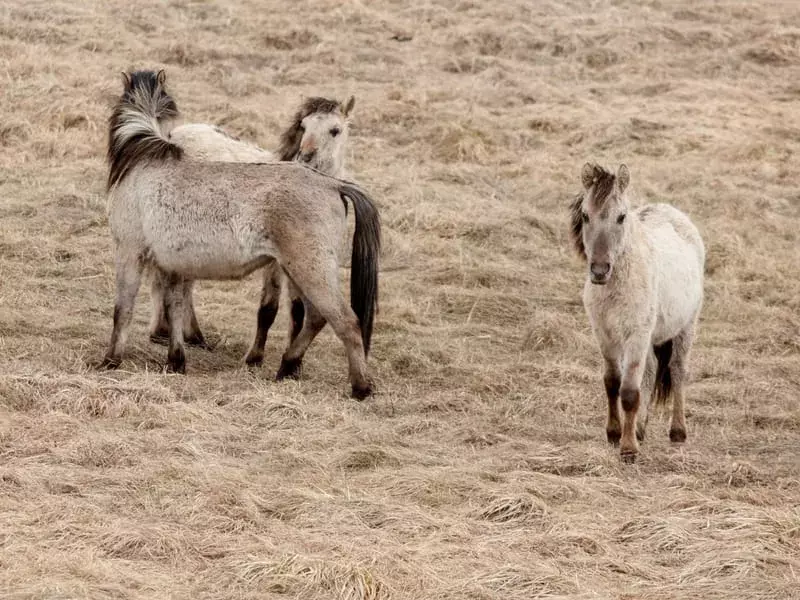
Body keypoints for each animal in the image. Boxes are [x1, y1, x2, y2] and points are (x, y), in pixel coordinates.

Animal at [148, 95, 356, 370]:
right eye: (303, 126)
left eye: (335, 130)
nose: (306, 157)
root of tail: (175, 134)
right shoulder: (277, 263)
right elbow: (268, 308)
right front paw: (254, 359)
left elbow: (298, 311)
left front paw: (294, 364)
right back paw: (165, 332)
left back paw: (191, 336)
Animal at [568, 162, 708, 462]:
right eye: (585, 216)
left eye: (621, 217)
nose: (599, 271)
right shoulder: (605, 335)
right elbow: (612, 383)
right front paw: (614, 434)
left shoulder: (636, 335)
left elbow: (630, 392)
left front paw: (629, 449)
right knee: (652, 370)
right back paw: (641, 428)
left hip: (686, 327)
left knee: (677, 370)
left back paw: (677, 431)